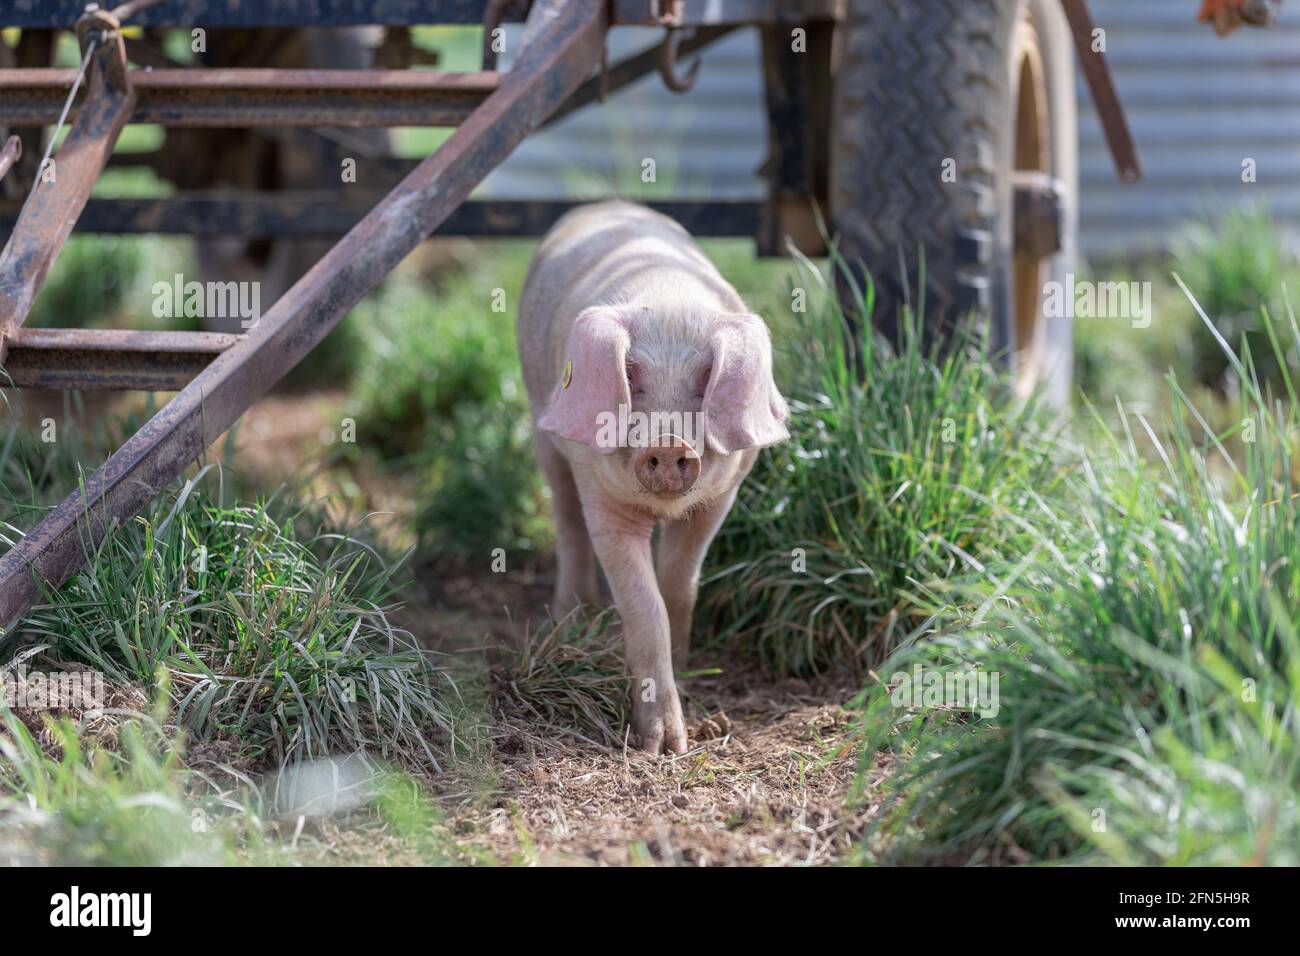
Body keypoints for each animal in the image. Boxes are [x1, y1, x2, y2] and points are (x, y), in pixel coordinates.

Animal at [518, 201, 789, 754]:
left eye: (706, 377)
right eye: (631, 375)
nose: (667, 443)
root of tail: (604, 204)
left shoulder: (722, 496)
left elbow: (679, 582)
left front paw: (687, 666)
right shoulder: (604, 501)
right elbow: (645, 607)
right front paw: (665, 748)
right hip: (544, 427)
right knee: (566, 519)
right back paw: (572, 615)